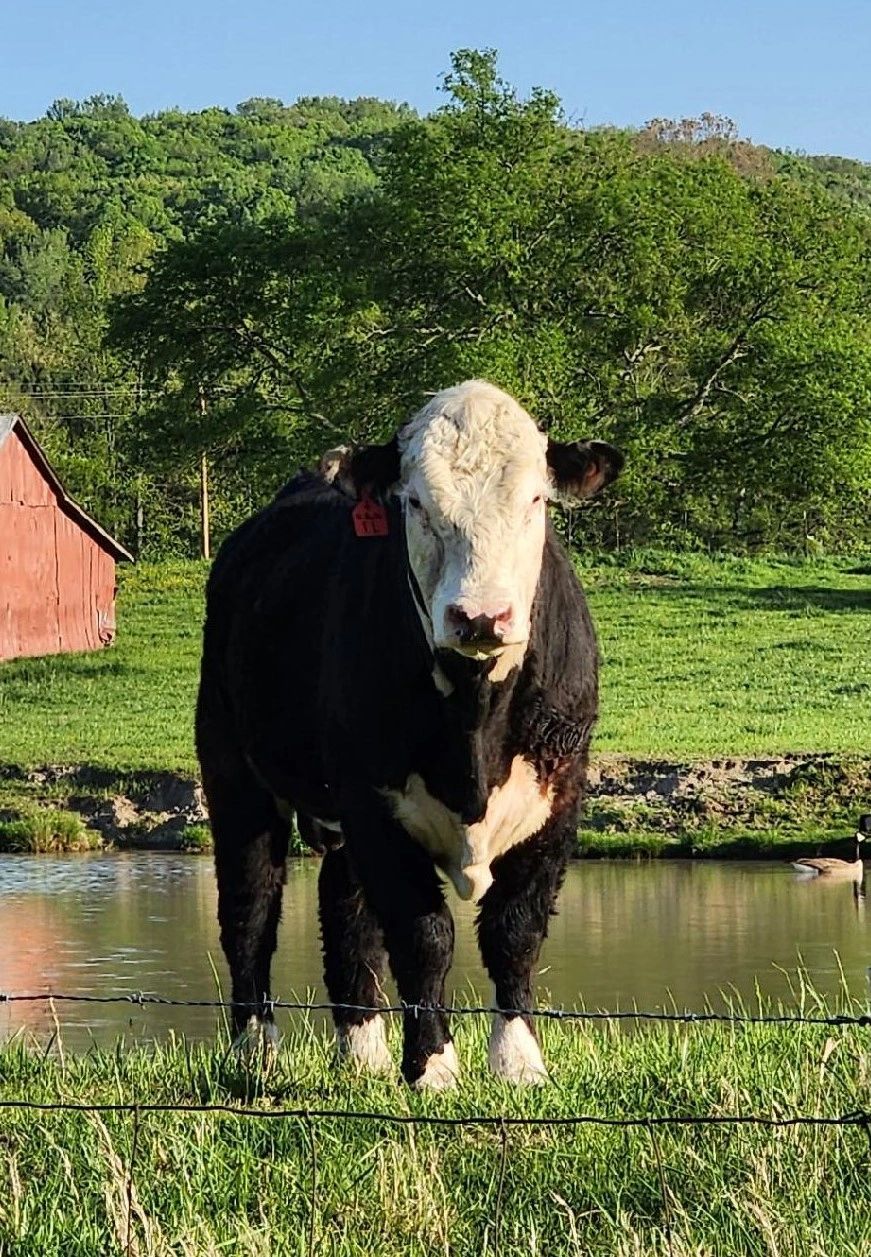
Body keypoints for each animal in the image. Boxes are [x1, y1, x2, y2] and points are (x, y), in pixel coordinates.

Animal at [196, 380, 623, 1089]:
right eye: (416, 503)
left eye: (535, 498)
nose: (480, 615)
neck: (476, 722)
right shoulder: (375, 806)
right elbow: (425, 935)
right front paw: (433, 1066)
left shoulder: (559, 801)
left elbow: (513, 931)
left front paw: (518, 1063)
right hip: (234, 773)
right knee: (250, 910)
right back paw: (252, 1051)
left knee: (344, 912)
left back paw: (361, 1051)